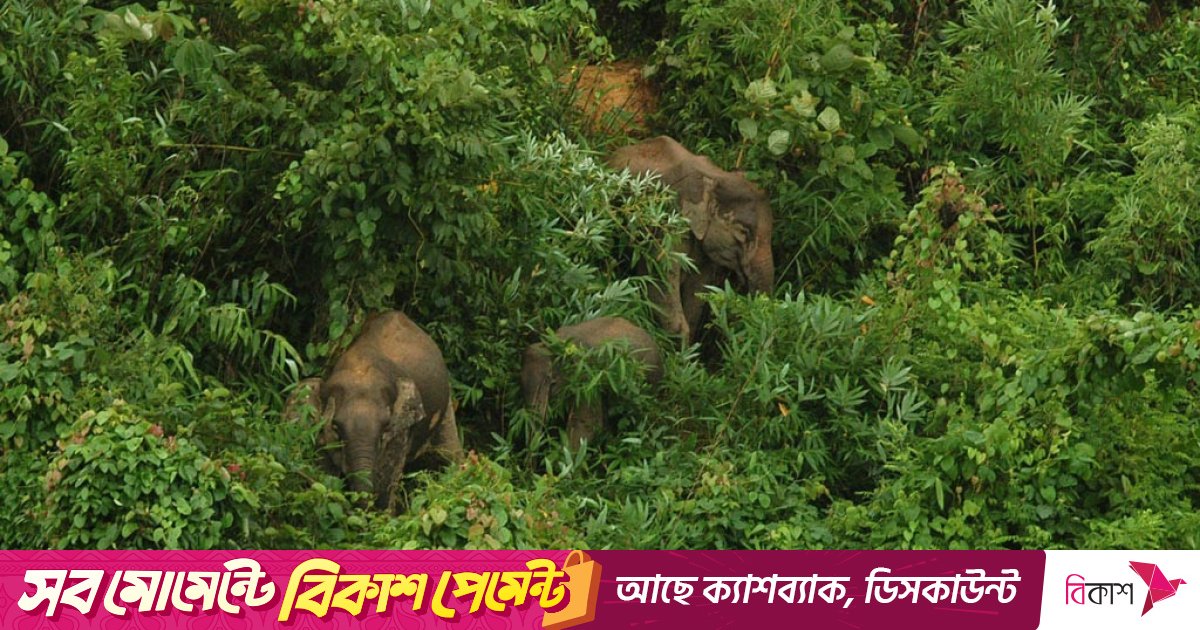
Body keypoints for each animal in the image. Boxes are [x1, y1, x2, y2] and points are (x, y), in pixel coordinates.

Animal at [284, 310, 463, 510]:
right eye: (336, 428)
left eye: (385, 429)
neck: (360, 368)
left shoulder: (400, 432)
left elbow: (388, 476)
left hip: (447, 406)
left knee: (450, 453)